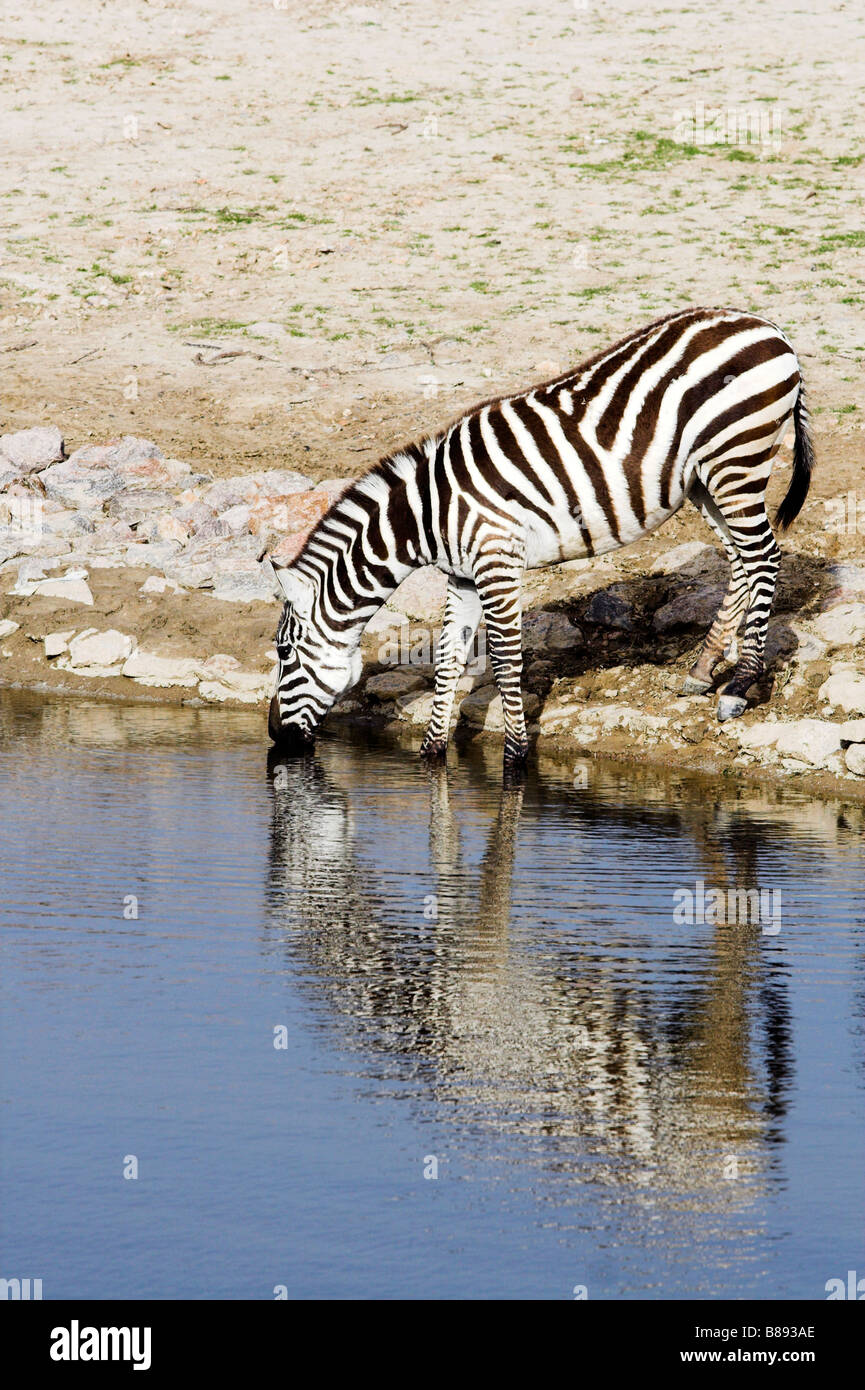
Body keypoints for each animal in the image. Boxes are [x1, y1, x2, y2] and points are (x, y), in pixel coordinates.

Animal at [263, 306, 814, 769]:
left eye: (284, 653)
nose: (273, 736)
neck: (427, 514)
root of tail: (767, 326)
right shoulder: (462, 575)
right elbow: (448, 659)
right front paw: (432, 754)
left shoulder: (496, 562)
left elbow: (506, 661)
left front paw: (515, 758)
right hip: (703, 479)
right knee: (740, 560)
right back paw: (702, 670)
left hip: (736, 458)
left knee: (764, 557)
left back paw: (740, 683)